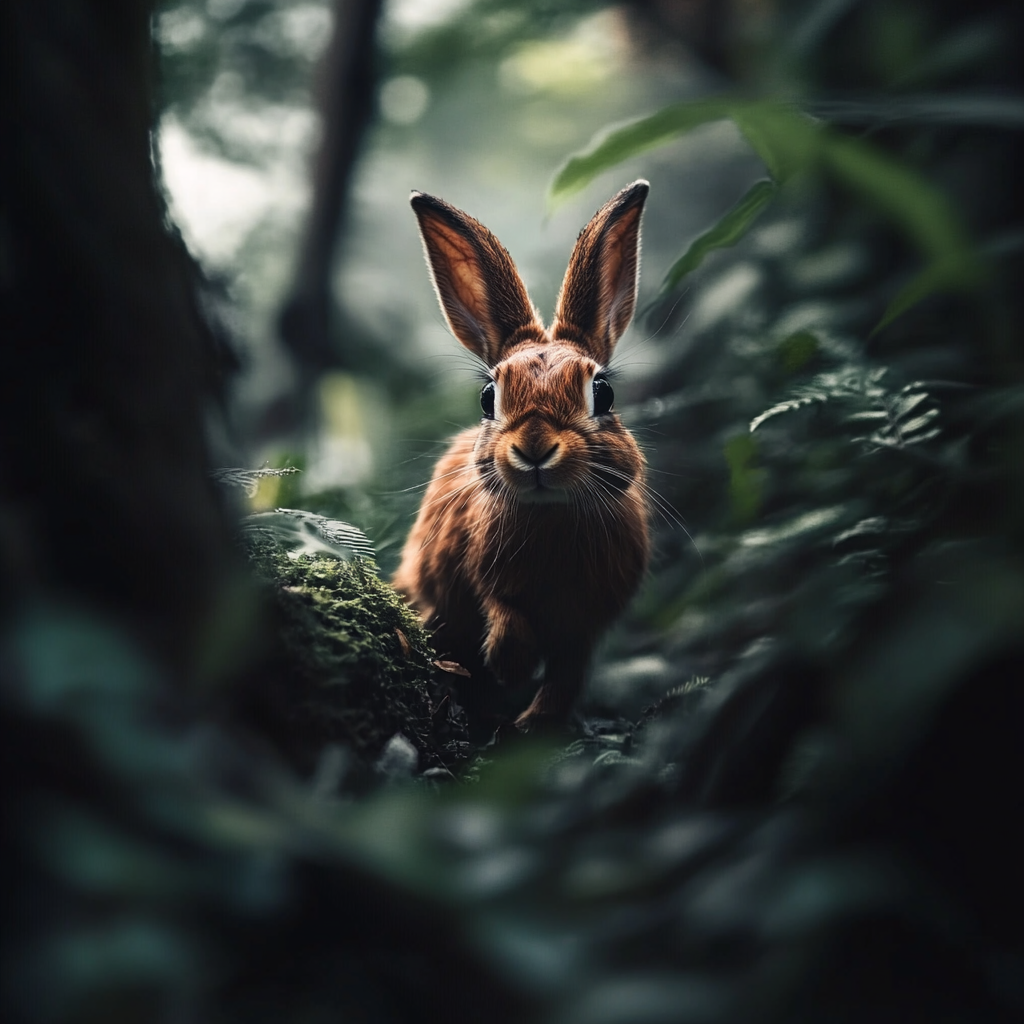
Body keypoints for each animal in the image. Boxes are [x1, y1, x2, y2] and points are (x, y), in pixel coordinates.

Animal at [393, 180, 651, 731]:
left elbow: (567, 677)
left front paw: (535, 724)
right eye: (488, 398)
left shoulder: (585, 624)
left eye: (604, 394)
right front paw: (510, 667)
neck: (551, 518)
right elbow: (507, 618)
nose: (534, 448)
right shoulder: (486, 581)